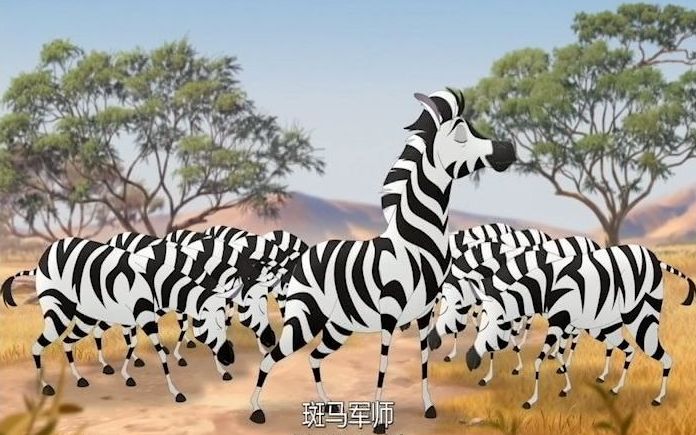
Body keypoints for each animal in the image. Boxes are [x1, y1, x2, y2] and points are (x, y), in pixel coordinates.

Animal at [1, 237, 238, 402]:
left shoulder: (136, 317)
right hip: (60, 311)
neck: (157, 283)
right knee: (37, 346)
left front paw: (127, 374)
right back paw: (45, 387)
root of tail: (43, 259)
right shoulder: (145, 317)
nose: (230, 358)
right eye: (214, 327)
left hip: (87, 316)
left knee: (68, 341)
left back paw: (80, 378)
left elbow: (133, 344)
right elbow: (160, 351)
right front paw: (176, 391)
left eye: (225, 324)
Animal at [248, 88, 516, 433]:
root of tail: (303, 255)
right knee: (272, 356)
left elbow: (424, 360)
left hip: (339, 326)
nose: (509, 148)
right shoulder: (390, 312)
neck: (416, 239)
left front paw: (429, 407)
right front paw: (378, 421)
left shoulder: (425, 312)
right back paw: (256, 410)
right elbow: (383, 364)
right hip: (306, 317)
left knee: (314, 357)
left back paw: (328, 405)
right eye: (460, 134)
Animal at [467, 244, 696, 408]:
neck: (544, 289)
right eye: (483, 322)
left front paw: (531, 399)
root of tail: (654, 258)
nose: (470, 360)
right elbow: (557, 353)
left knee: (665, 358)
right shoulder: (564, 323)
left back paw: (658, 398)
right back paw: (615, 386)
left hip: (641, 319)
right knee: (628, 350)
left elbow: (540, 359)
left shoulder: (559, 323)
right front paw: (565, 386)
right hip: (609, 325)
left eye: (497, 324)